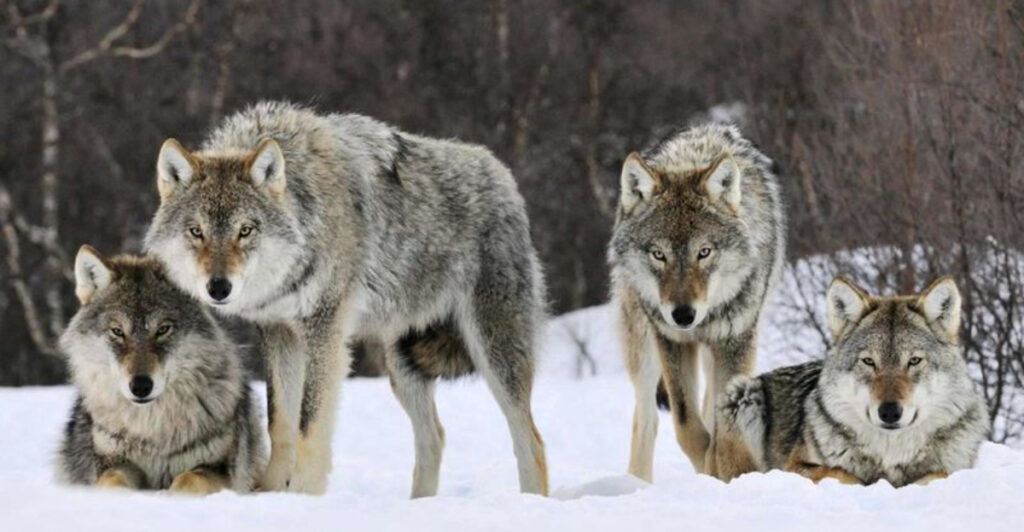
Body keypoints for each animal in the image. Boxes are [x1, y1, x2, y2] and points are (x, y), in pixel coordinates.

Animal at [57, 247, 265, 494]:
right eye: (117, 332)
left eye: (163, 329)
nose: (141, 386)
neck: (152, 431)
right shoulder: (112, 463)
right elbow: (112, 481)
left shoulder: (219, 469)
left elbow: (189, 480)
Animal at [144, 101, 548, 496]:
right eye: (196, 231)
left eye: (245, 230)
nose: (218, 288)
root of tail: (503, 175)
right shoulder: (278, 332)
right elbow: (280, 423)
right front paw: (271, 493)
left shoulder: (325, 331)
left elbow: (309, 424)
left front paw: (303, 496)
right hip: (403, 366)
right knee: (434, 437)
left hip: (493, 352)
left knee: (531, 440)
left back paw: (531, 500)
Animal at [609, 123, 785, 481]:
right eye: (658, 254)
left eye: (704, 252)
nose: (683, 315)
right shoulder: (672, 340)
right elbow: (687, 425)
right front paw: (708, 465)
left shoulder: (736, 340)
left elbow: (720, 421)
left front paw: (721, 470)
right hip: (643, 346)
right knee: (646, 420)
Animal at [717, 276, 990, 486]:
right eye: (869, 362)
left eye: (914, 361)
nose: (889, 412)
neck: (890, 455)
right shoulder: (794, 466)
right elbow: (842, 473)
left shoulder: (954, 469)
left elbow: (938, 474)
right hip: (741, 394)